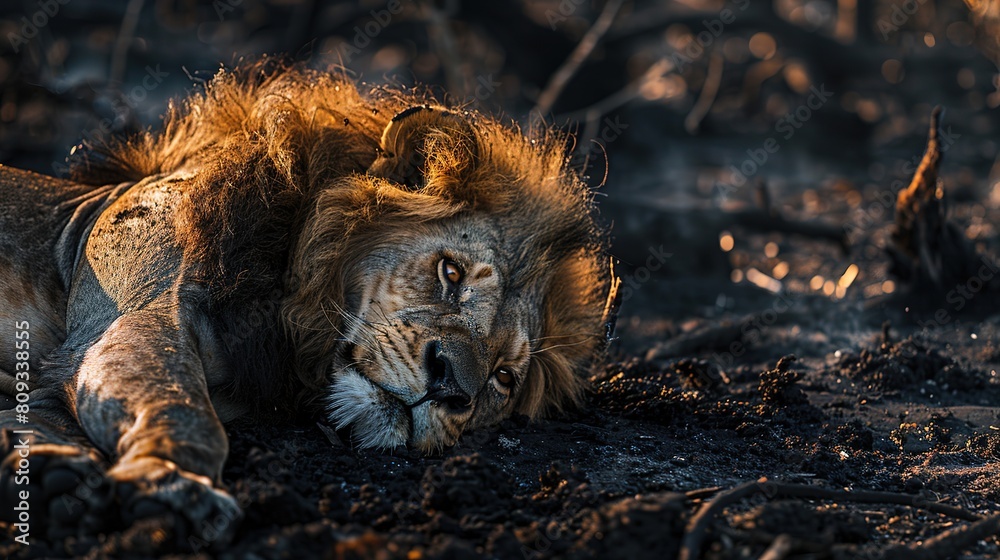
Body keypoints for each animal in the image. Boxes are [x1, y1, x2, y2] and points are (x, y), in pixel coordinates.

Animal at [0, 61, 617, 546]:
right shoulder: (140, 315)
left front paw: (52, 480)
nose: (451, 387)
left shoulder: (63, 373)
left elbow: (42, 420)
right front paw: (173, 486)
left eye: (503, 379)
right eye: (450, 273)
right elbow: (185, 410)